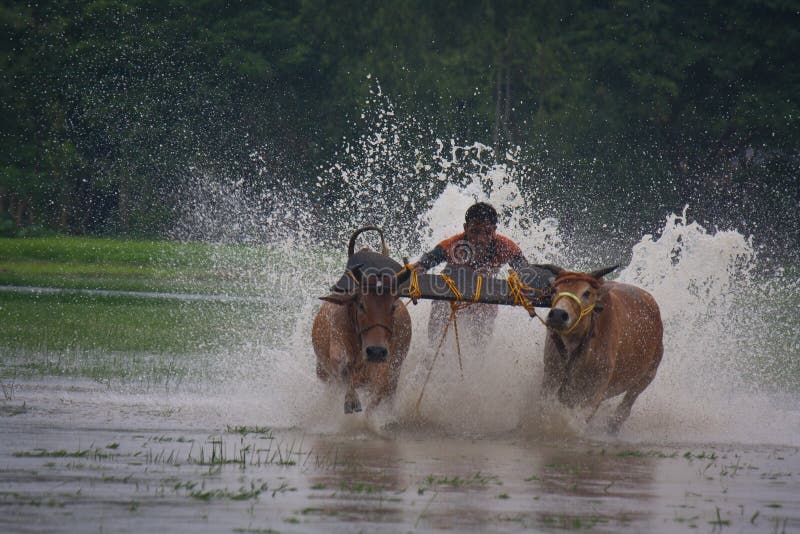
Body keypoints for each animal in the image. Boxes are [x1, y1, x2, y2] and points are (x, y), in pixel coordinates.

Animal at [312, 226, 412, 414]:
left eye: (393, 307)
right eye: (361, 305)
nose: (375, 351)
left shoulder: (388, 363)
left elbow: (379, 387)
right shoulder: (337, 344)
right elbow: (343, 365)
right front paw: (351, 400)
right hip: (321, 371)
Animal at [537, 264, 663, 433]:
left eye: (586, 293)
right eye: (554, 290)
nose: (557, 314)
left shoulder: (595, 392)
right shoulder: (550, 379)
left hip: (648, 375)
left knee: (624, 410)